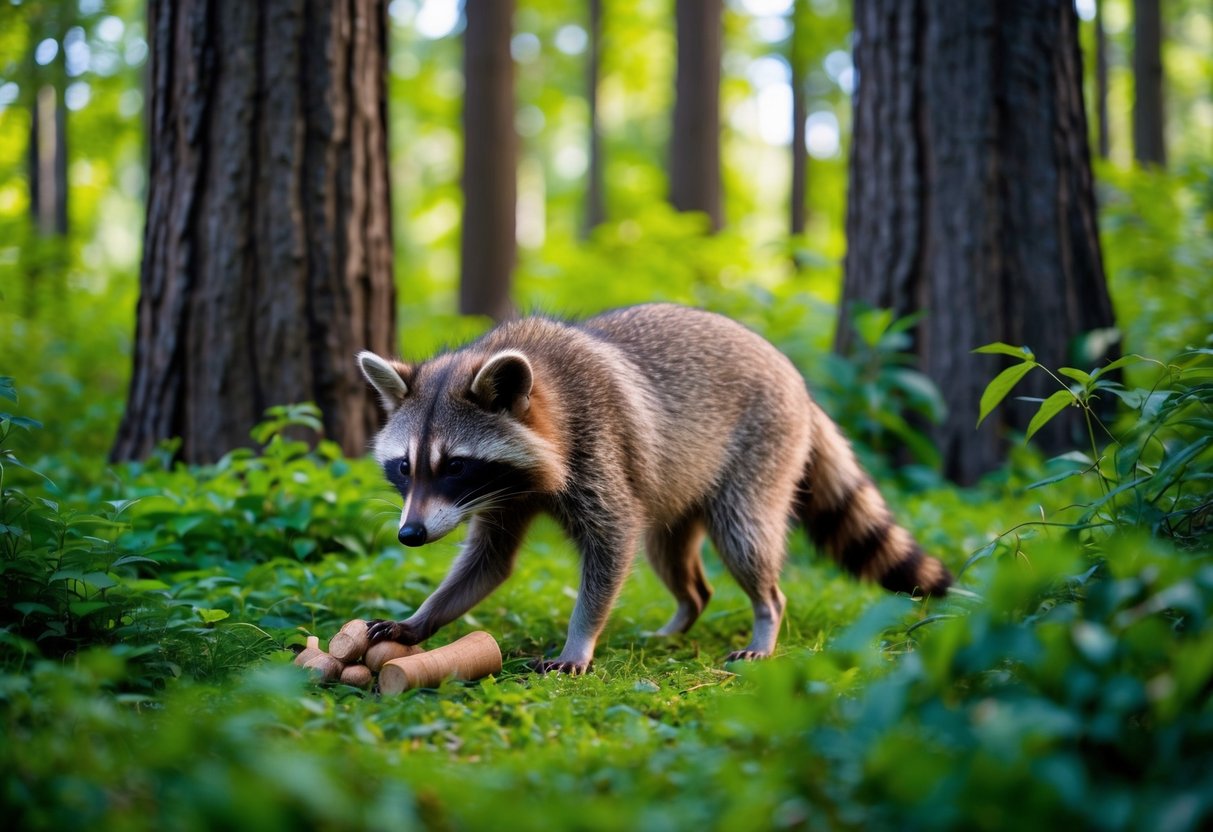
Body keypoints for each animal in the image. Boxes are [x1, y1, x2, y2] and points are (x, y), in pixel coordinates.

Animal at [357, 304, 951, 673]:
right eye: (405, 467)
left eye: (455, 465)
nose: (410, 535)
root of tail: (798, 383)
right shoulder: (505, 495)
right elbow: (489, 562)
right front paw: (422, 618)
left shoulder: (598, 445)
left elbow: (613, 543)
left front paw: (580, 638)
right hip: (677, 490)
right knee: (670, 555)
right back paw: (685, 612)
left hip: (763, 450)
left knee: (745, 540)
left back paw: (766, 617)